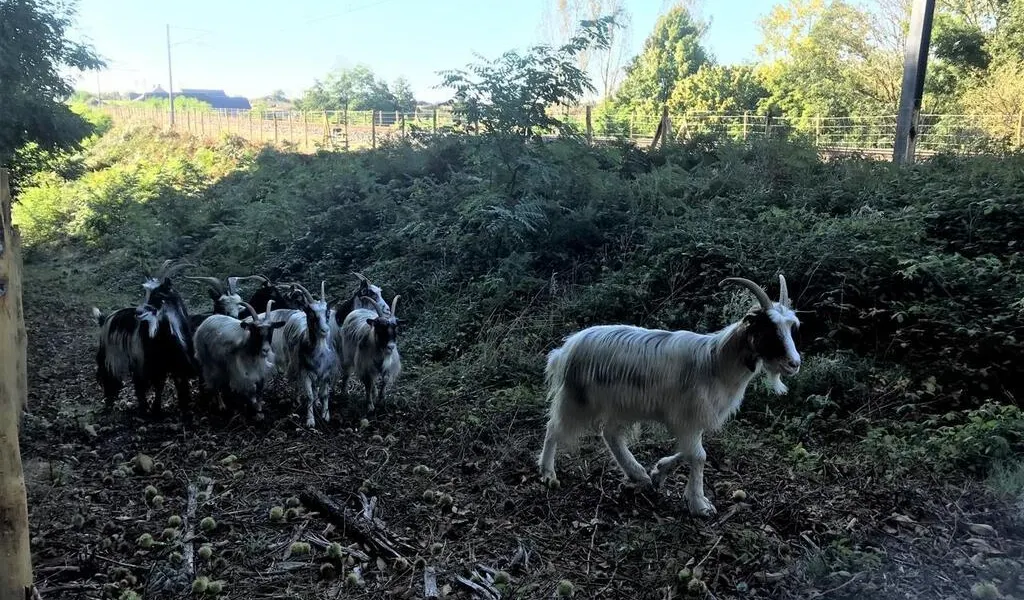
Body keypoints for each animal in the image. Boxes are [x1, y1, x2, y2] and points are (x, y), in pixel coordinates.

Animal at [92, 259, 196, 417]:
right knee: (110, 377)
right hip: (111, 355)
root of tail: (106, 319)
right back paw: (112, 404)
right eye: (145, 293)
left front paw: (181, 408)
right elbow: (157, 385)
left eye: (159, 295)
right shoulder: (149, 363)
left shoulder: (174, 363)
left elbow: (171, 384)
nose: (138, 311)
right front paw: (154, 410)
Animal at [536, 275, 801, 517]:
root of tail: (567, 347)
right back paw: (548, 473)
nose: (794, 364)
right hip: (577, 399)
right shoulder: (687, 416)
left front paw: (659, 472)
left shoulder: (690, 419)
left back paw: (637, 473)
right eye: (768, 328)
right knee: (554, 428)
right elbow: (699, 456)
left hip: (622, 404)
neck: (716, 362)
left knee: (610, 434)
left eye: (790, 327)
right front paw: (699, 504)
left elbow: (691, 451)